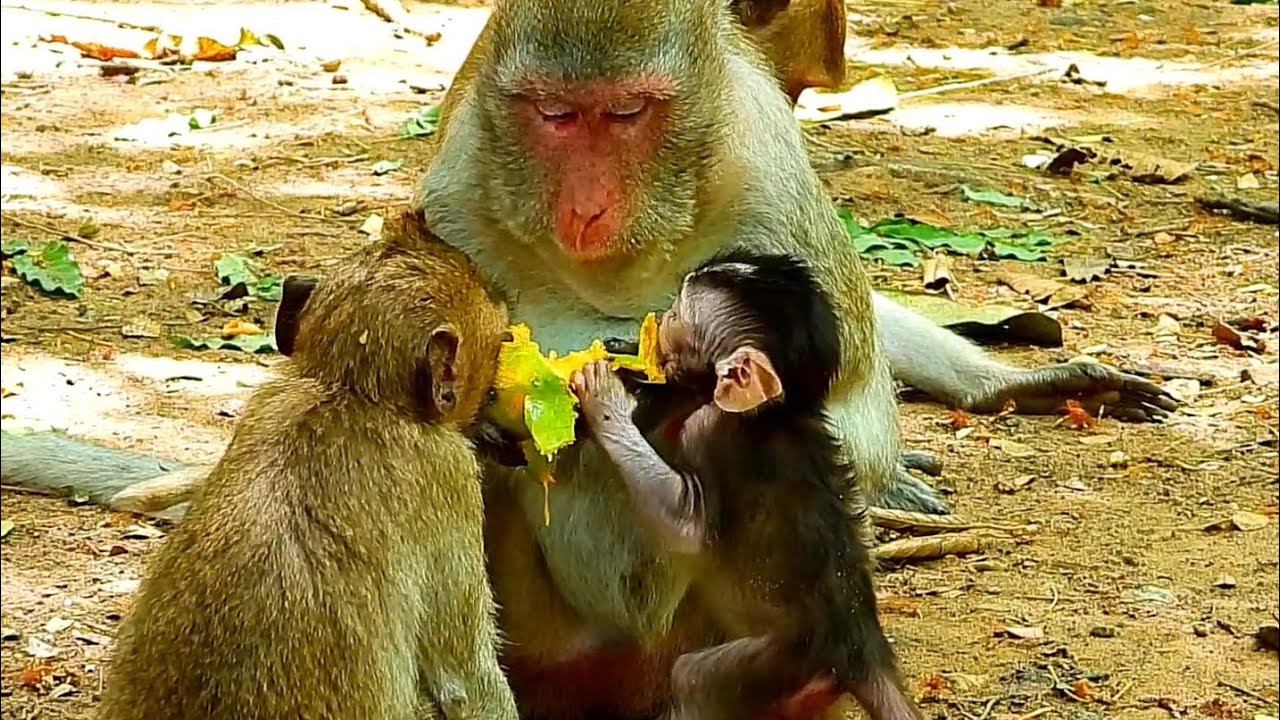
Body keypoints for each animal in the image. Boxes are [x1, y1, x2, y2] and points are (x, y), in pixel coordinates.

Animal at [569, 250, 919, 720]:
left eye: (677, 316)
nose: (657, 325)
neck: (773, 414)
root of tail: (860, 647)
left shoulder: (710, 432)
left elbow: (687, 530)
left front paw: (606, 399)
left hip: (782, 661)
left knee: (694, 678)